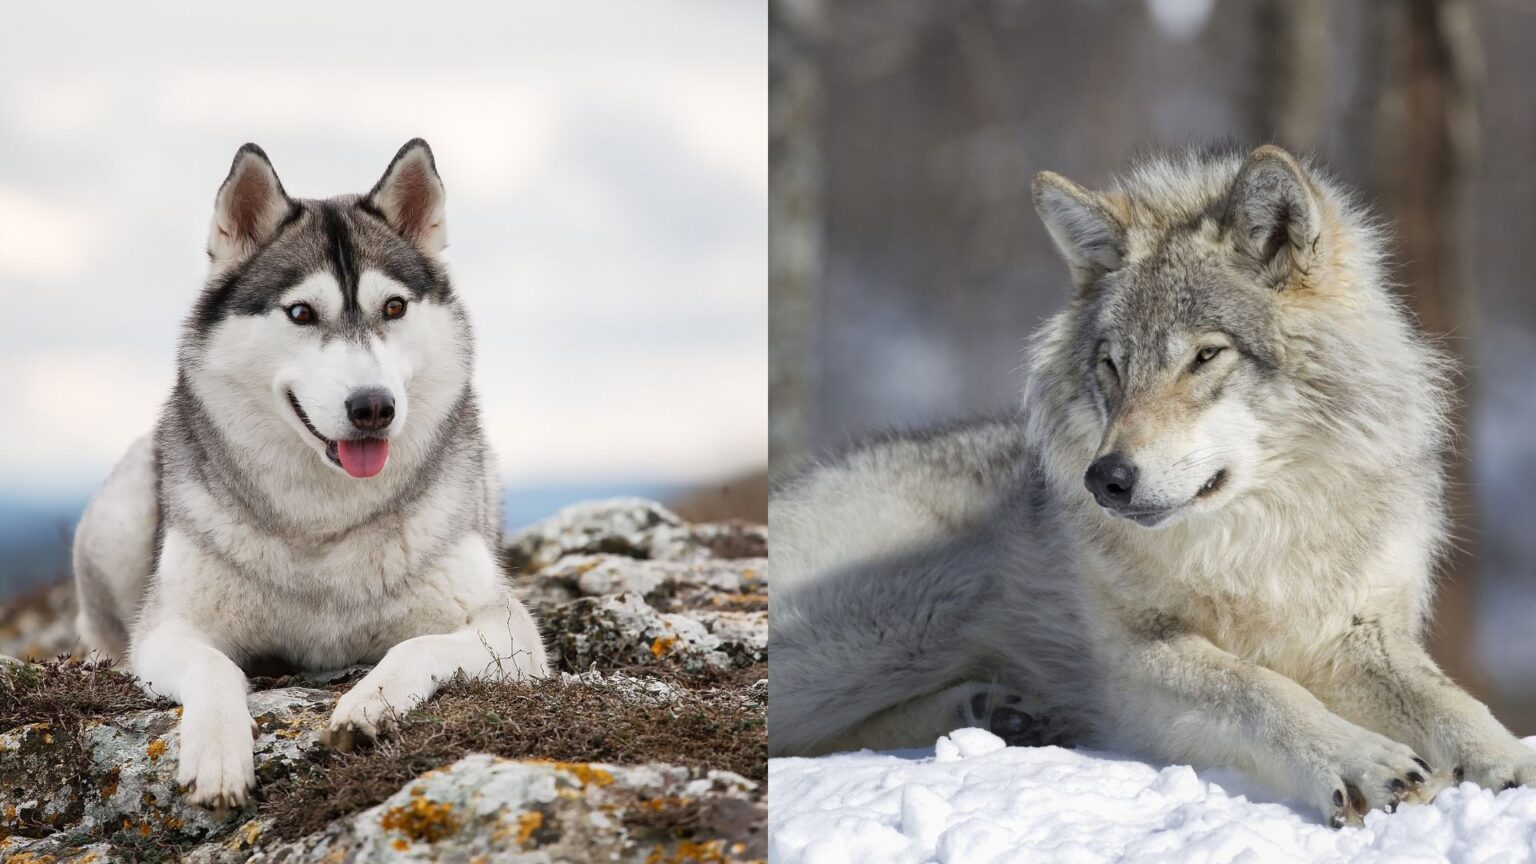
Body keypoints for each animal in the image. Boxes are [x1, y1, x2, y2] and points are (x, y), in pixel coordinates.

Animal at [72, 140, 547, 812]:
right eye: (301, 312)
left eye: (393, 307)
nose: (373, 407)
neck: (325, 520)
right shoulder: (168, 630)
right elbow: (216, 667)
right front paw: (217, 755)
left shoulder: (509, 631)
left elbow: (415, 645)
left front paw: (369, 704)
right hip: (121, 515)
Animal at [768, 144, 1536, 826]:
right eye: (1112, 365)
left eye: (1205, 355)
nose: (1105, 479)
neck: (1255, 541)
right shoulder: (1137, 661)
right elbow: (1259, 688)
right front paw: (1356, 760)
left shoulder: (1357, 630)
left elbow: (1450, 701)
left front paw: (1511, 762)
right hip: (924, 607)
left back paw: (998, 712)